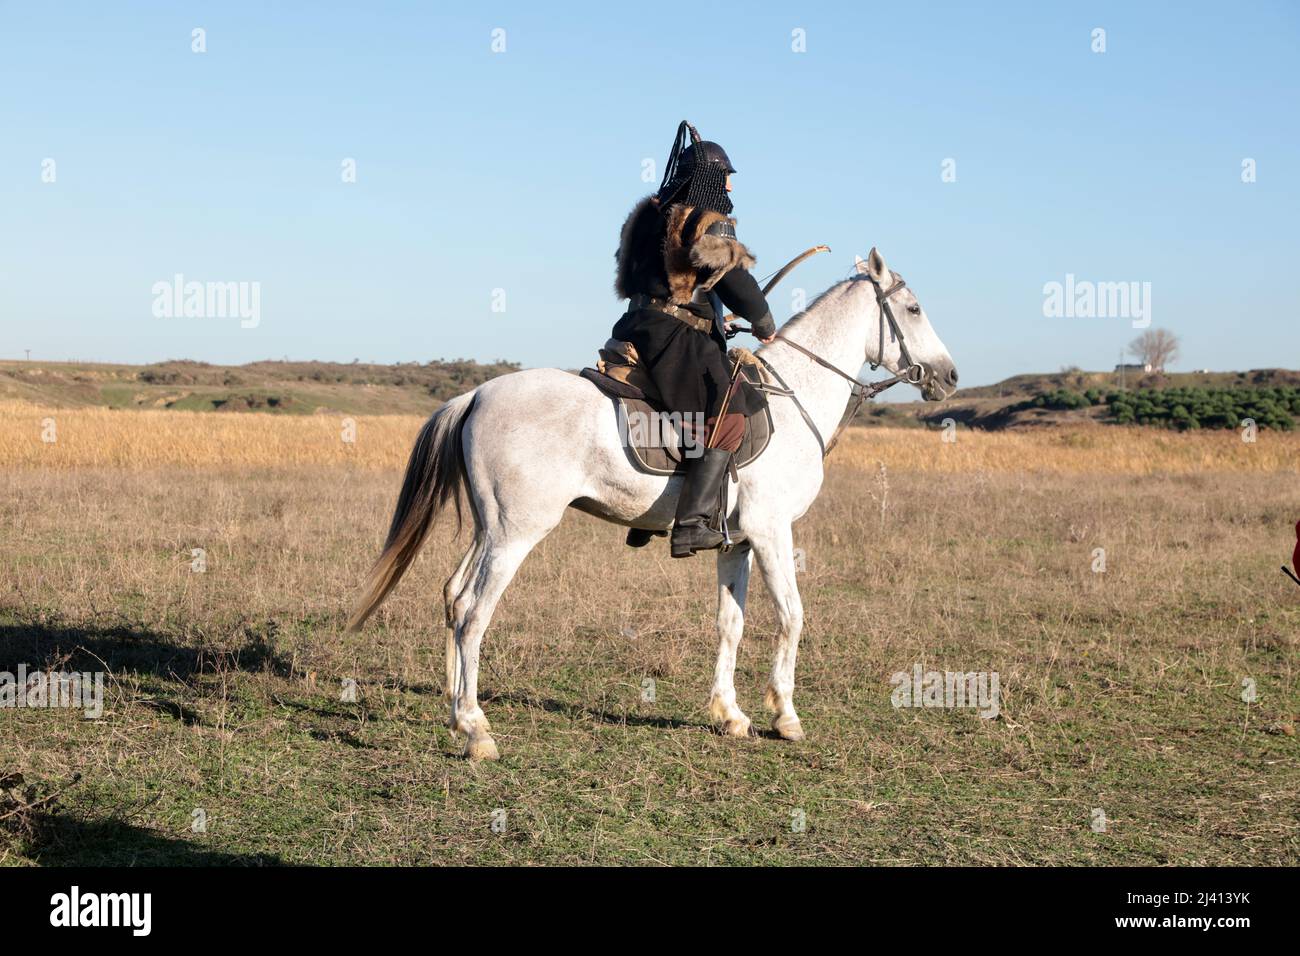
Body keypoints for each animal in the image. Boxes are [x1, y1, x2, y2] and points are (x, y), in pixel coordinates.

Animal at [346, 247, 958, 760]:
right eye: (913, 307)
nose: (950, 377)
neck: (795, 395)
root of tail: (476, 394)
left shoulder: (735, 543)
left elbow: (730, 622)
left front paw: (729, 714)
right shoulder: (771, 530)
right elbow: (791, 615)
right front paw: (785, 715)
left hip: (488, 530)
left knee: (453, 597)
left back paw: (456, 713)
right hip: (514, 535)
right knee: (475, 613)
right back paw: (476, 730)